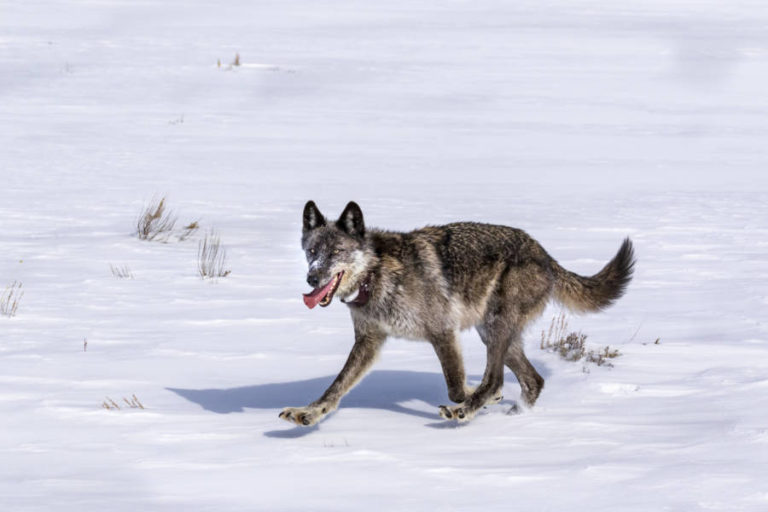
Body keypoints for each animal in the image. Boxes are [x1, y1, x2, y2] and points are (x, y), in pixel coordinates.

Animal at [279, 201, 635, 426]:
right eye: (312, 252)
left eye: (337, 252)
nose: (312, 278)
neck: (378, 275)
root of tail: (545, 253)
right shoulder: (369, 342)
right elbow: (336, 387)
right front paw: (308, 413)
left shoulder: (442, 332)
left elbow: (455, 386)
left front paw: (473, 401)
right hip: (493, 334)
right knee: (533, 380)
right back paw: (515, 417)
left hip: (495, 330)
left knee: (496, 378)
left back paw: (470, 410)